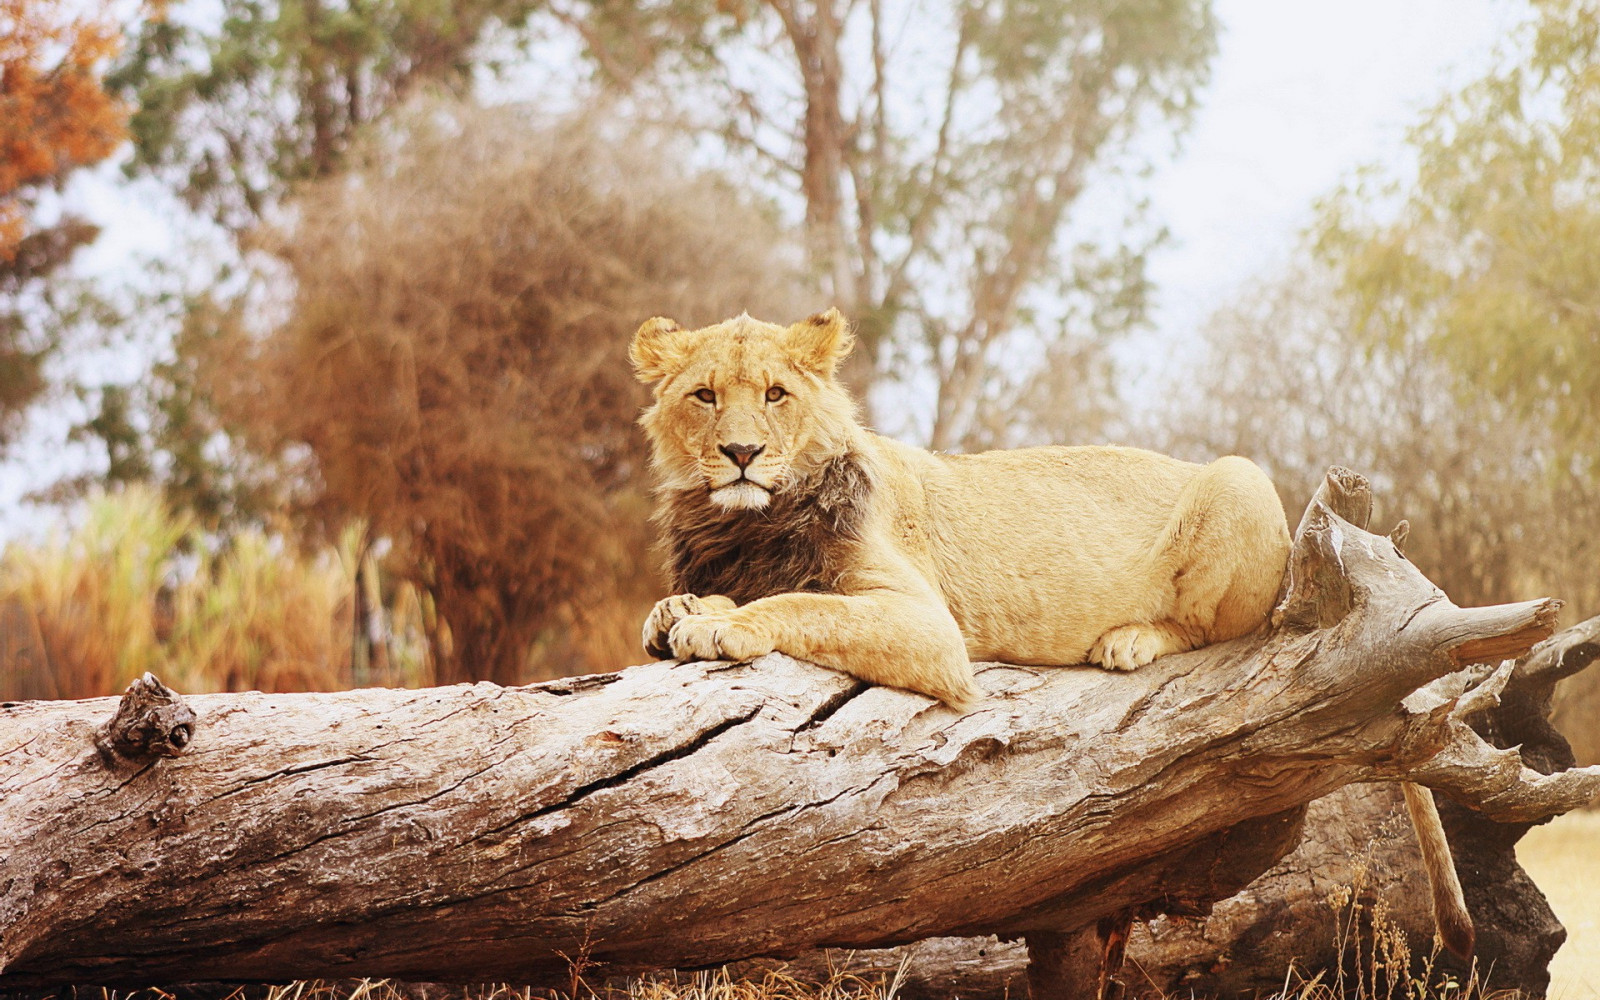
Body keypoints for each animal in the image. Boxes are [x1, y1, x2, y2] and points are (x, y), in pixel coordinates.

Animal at [630, 307, 1472, 958]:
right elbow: (705, 599)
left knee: (1218, 633)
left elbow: (800, 604)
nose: (742, 454)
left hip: (1237, 478)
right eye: (705, 396)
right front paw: (676, 612)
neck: (744, 526)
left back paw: (1128, 640)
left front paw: (718, 628)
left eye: (776, 394)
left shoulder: (927, 624)